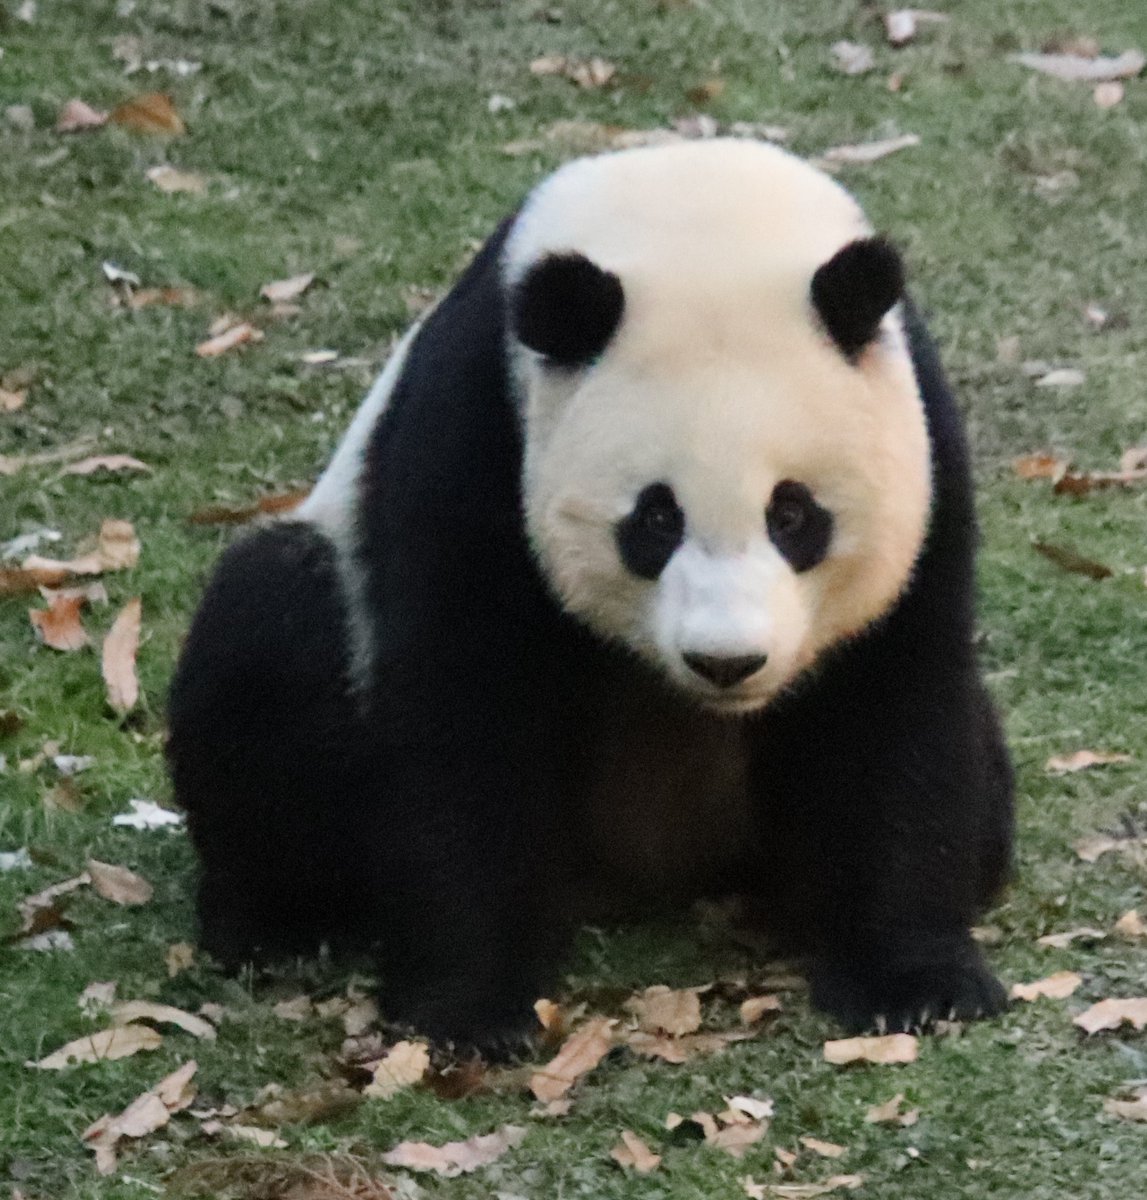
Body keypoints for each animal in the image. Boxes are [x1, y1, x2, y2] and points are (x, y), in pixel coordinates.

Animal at [167, 138, 1014, 1052]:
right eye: (655, 519)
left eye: (792, 516)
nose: (726, 661)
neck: (695, 212)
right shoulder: (485, 421)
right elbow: (464, 709)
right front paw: (469, 1009)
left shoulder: (921, 443)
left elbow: (893, 708)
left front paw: (917, 984)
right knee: (271, 636)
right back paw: (276, 925)